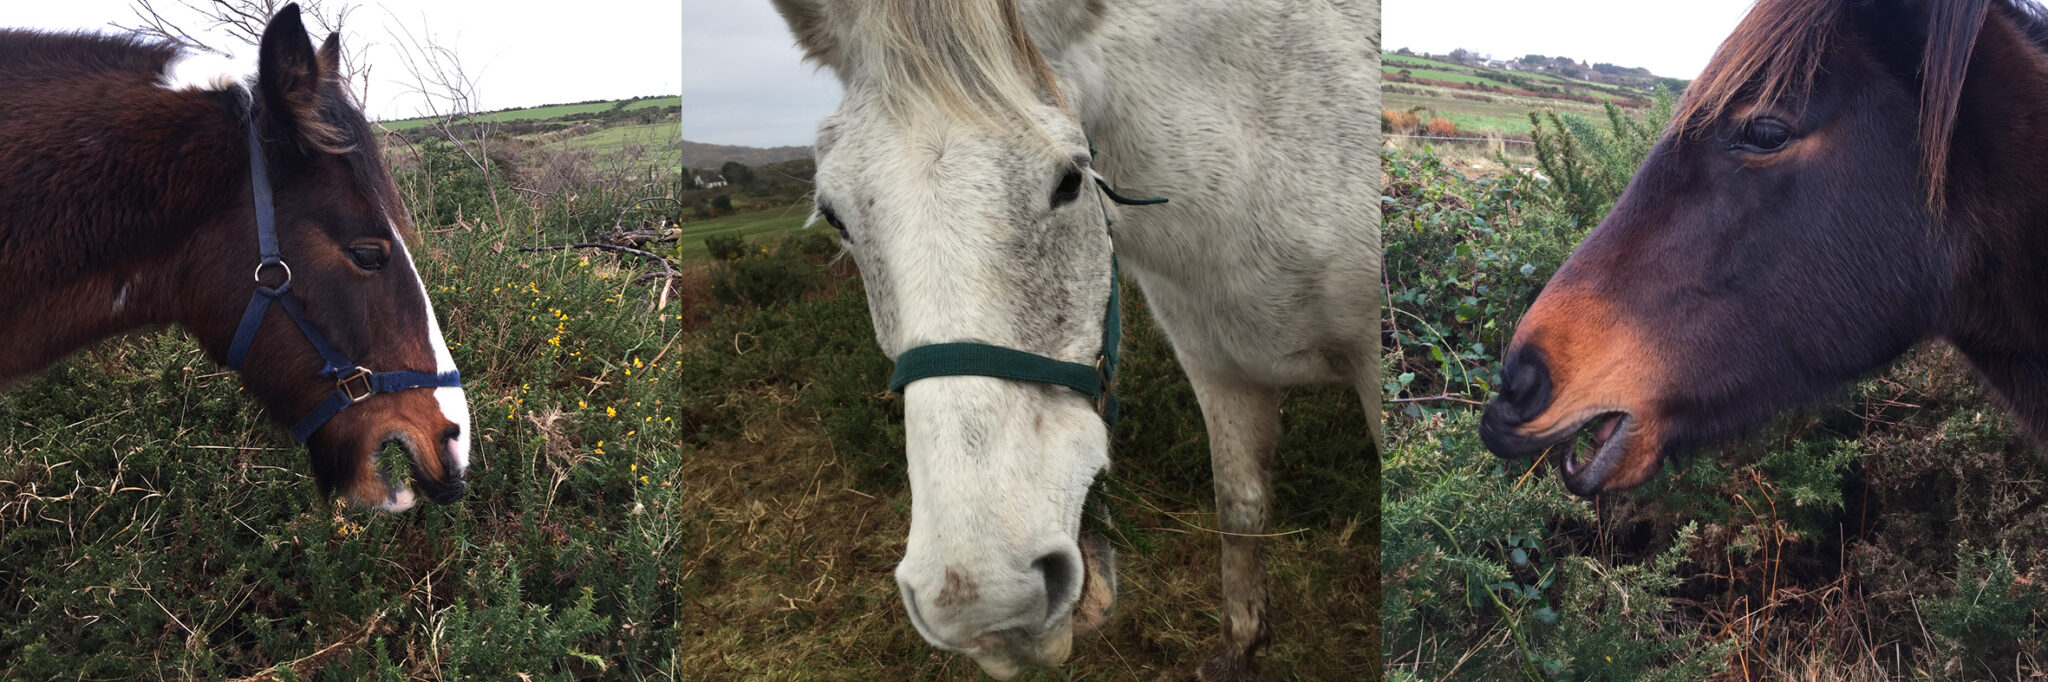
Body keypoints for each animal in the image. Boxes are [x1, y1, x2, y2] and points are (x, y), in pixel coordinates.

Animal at [768, 0, 1381, 678]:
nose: (986, 604)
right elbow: (1240, 507)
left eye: (1070, 180)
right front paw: (1240, 648)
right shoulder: (1218, 371)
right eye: (835, 217)